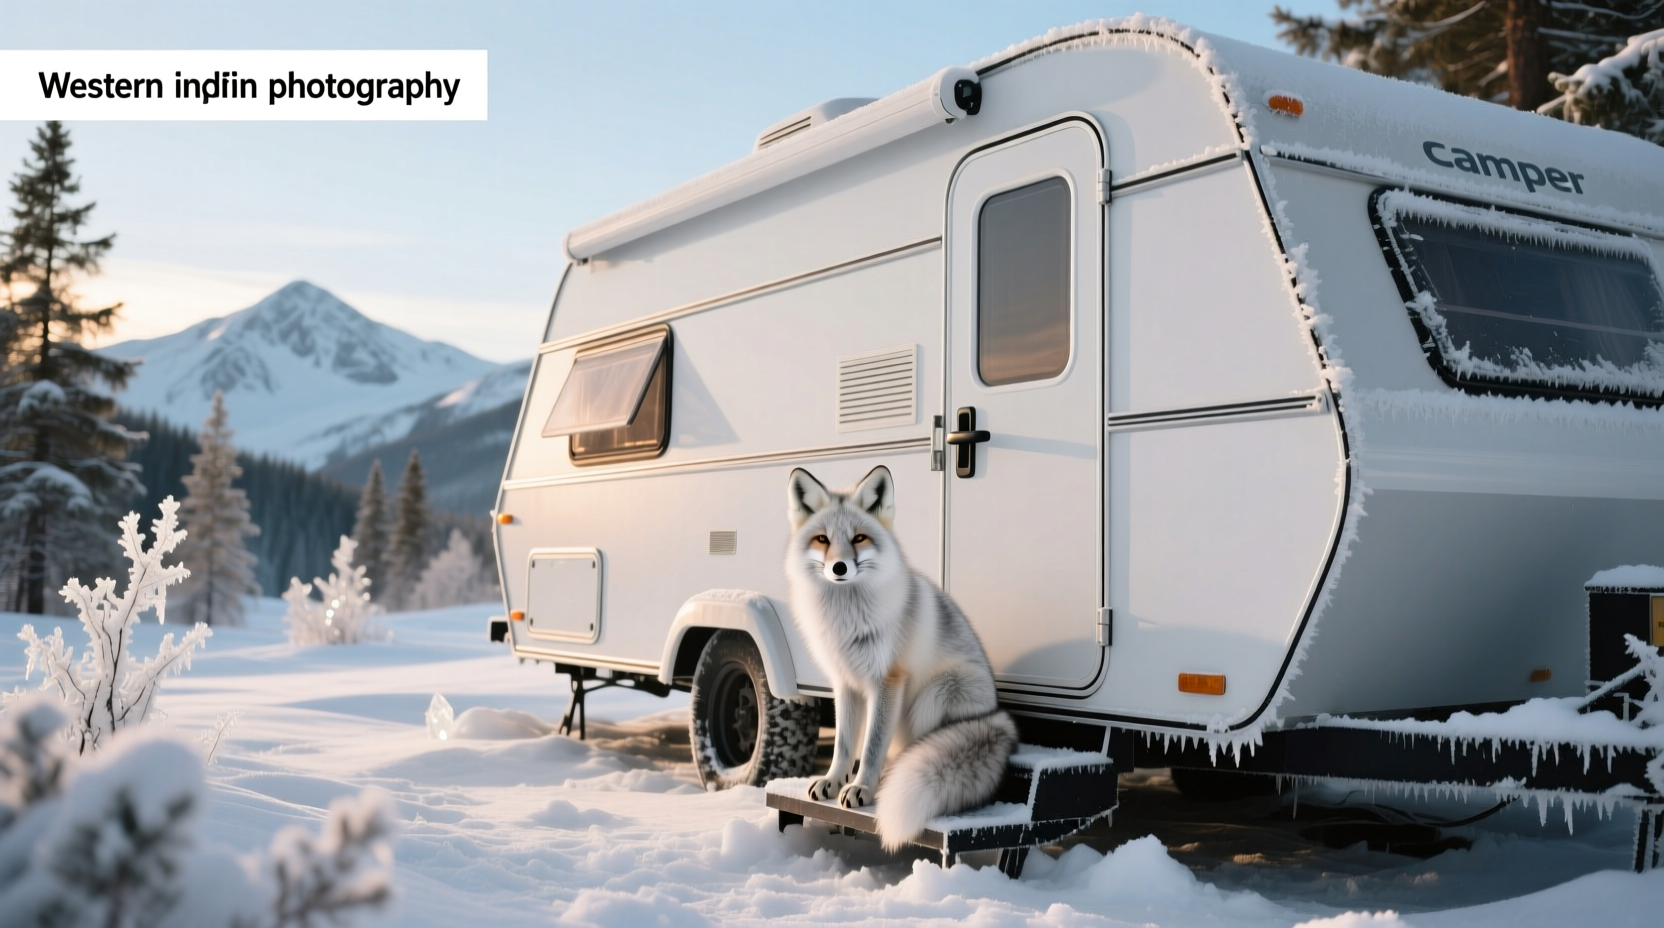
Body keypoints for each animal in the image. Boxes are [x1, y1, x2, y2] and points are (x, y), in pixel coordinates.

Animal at [784, 465, 1018, 850]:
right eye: (822, 540)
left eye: (859, 538)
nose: (839, 568)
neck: (846, 619)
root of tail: (999, 718)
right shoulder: (845, 683)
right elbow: (843, 744)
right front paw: (834, 780)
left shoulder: (888, 679)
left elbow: (872, 743)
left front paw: (862, 787)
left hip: (934, 695)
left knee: (912, 749)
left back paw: (891, 775)